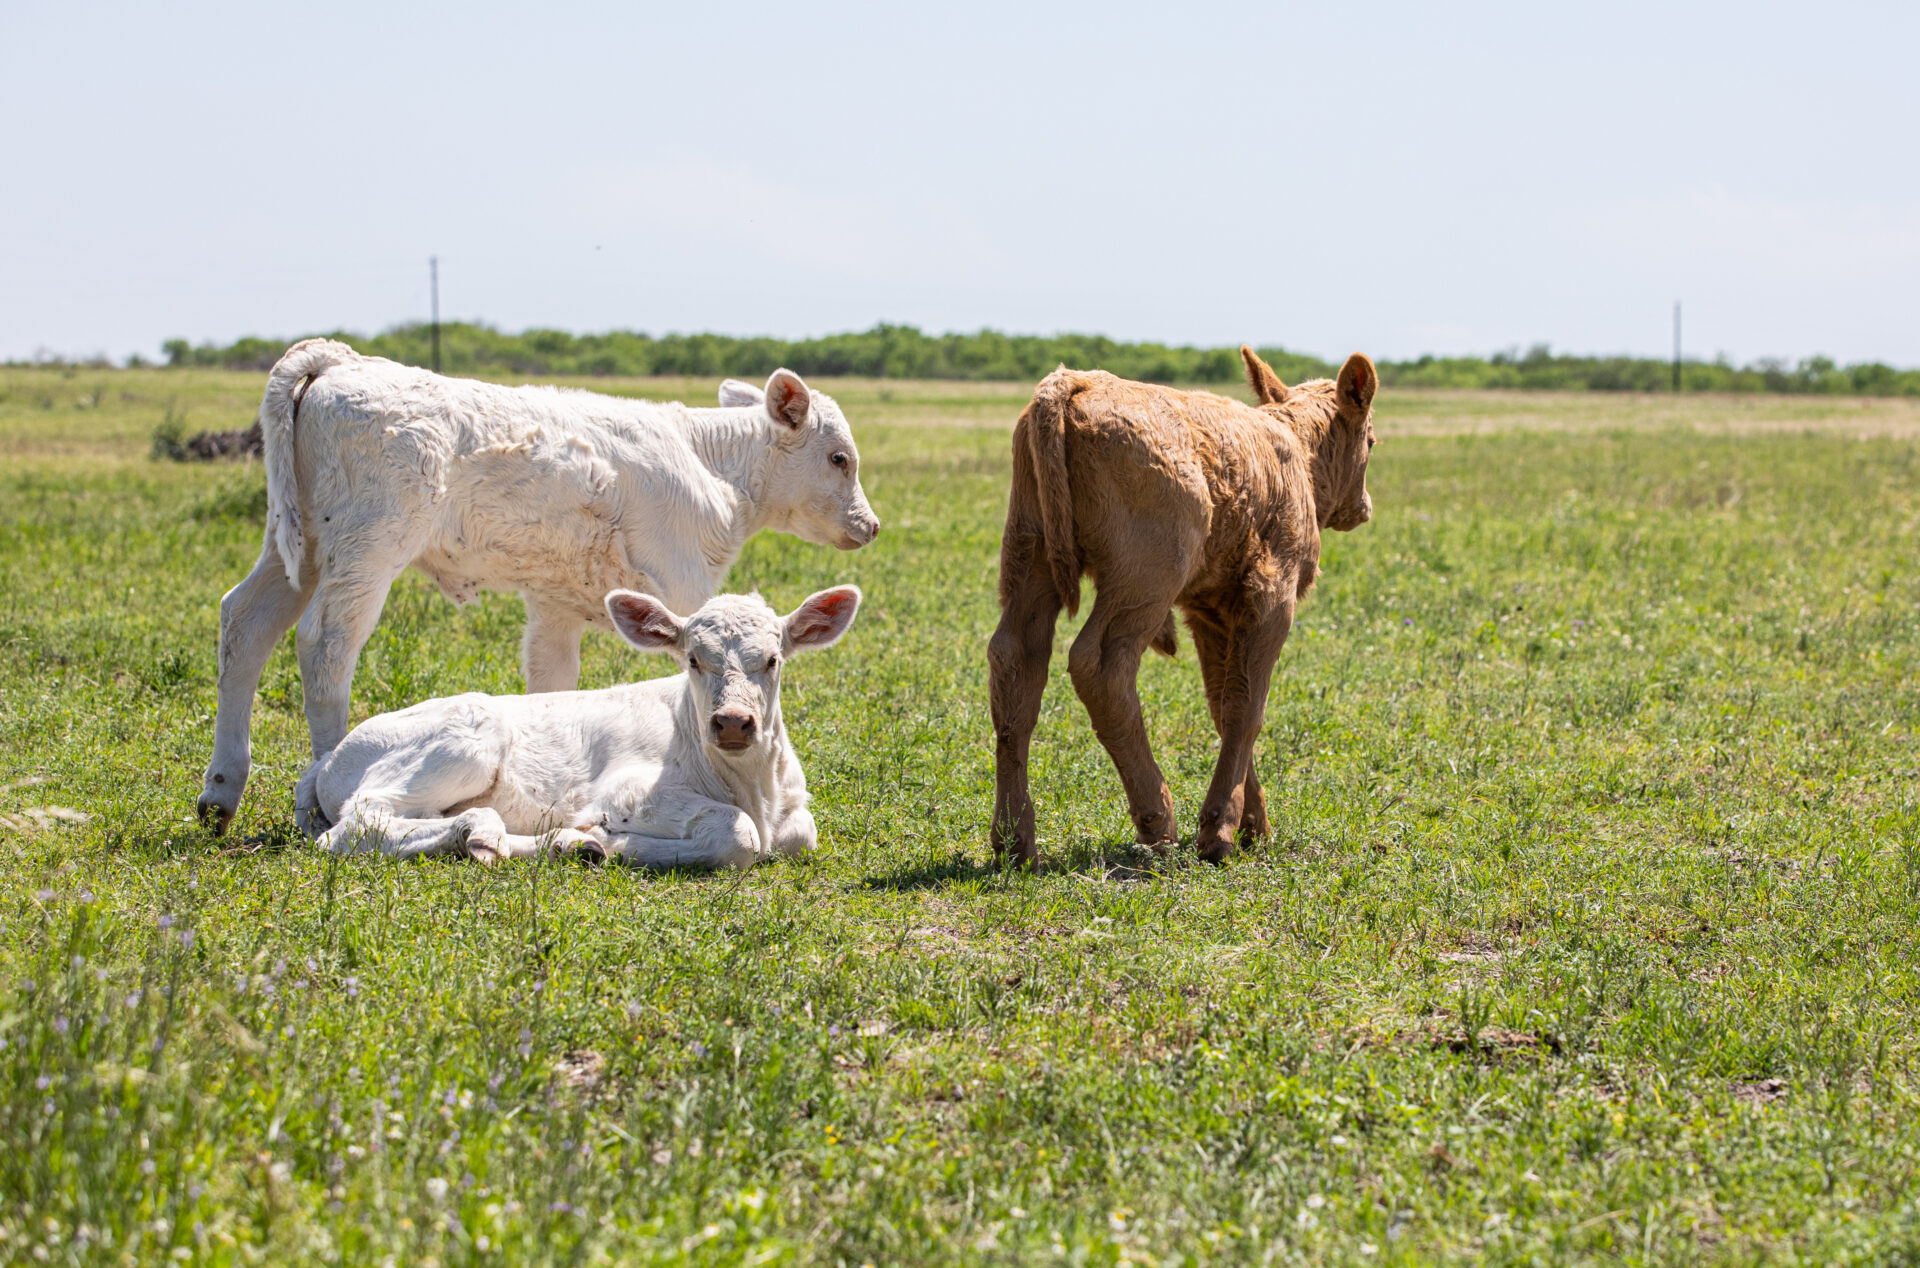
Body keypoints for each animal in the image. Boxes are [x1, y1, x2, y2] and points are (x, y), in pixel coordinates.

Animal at [197, 339, 879, 832]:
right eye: (839, 458)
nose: (869, 526)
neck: (709, 462)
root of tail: (341, 360)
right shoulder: (684, 588)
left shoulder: (556, 605)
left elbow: (552, 684)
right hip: (368, 548)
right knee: (326, 646)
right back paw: (323, 776)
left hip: (299, 548)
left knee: (244, 622)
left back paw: (221, 792)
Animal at [294, 585, 862, 867]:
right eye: (693, 660)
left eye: (772, 659)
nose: (733, 723)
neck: (754, 785)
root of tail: (330, 757)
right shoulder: (626, 794)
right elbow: (740, 836)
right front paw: (619, 845)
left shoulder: (794, 809)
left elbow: (801, 835)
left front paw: (590, 844)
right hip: (464, 740)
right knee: (357, 825)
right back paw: (485, 829)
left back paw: (541, 842)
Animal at [988, 347, 1377, 865]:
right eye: (1371, 440)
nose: (1363, 506)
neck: (1295, 451)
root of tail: (1074, 383)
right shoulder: (1272, 599)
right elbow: (1247, 708)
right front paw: (1219, 832)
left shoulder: (1211, 612)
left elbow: (1222, 701)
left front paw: (1253, 824)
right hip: (1143, 581)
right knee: (1101, 666)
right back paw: (1158, 822)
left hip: (1030, 560)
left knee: (1016, 664)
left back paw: (1015, 841)